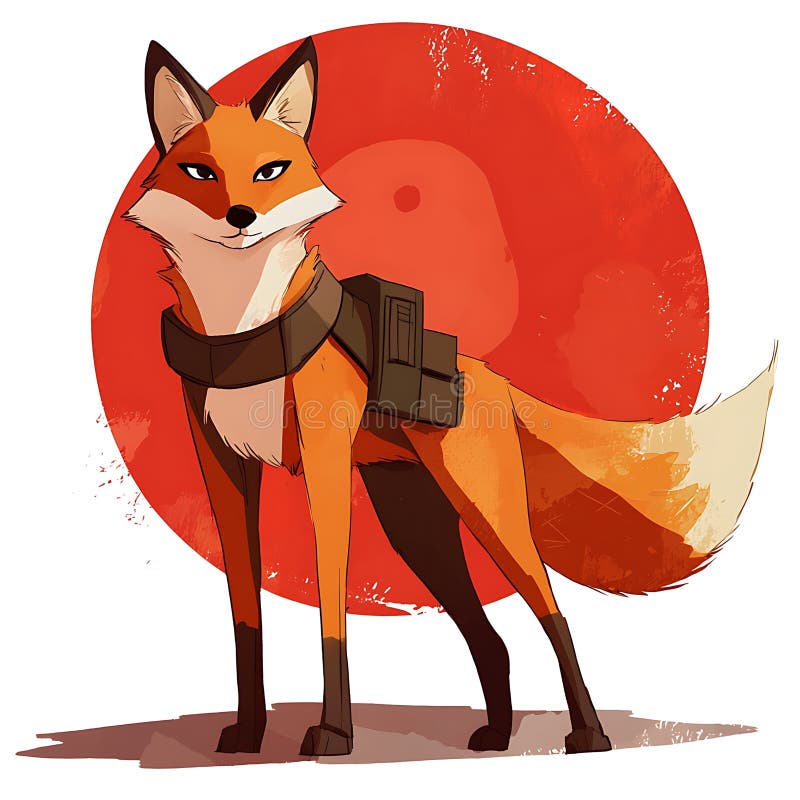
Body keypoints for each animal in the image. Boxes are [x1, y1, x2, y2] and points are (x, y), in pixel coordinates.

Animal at [125, 37, 774, 758]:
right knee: (492, 640)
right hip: (416, 527)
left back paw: (589, 734)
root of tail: (489, 372)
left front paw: (333, 733)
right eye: (200, 173)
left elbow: (331, 612)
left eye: (271, 171)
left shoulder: (324, 463)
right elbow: (247, 618)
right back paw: (494, 733)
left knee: (553, 614)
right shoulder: (221, 467)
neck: (242, 328)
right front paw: (247, 732)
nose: (242, 217)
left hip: (487, 513)